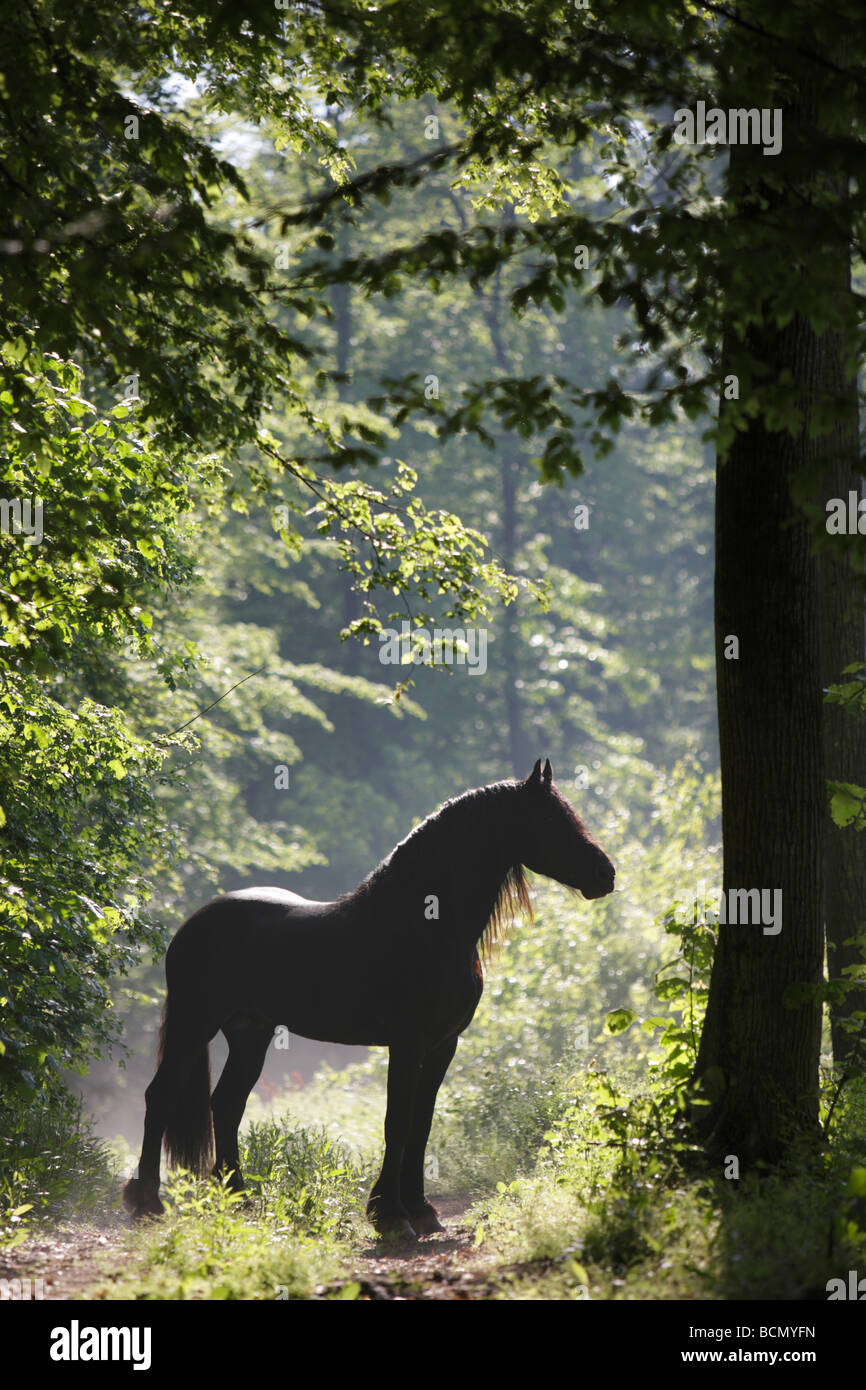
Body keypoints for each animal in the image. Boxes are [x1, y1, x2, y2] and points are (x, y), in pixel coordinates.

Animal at [122, 758, 615, 1236]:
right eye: (550, 820)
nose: (605, 874)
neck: (424, 923)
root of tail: (192, 924)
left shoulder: (443, 1046)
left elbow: (421, 1123)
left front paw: (420, 1209)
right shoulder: (407, 1043)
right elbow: (397, 1122)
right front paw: (390, 1215)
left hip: (250, 1035)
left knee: (225, 1105)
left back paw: (237, 1199)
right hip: (194, 1024)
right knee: (159, 1097)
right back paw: (148, 1202)